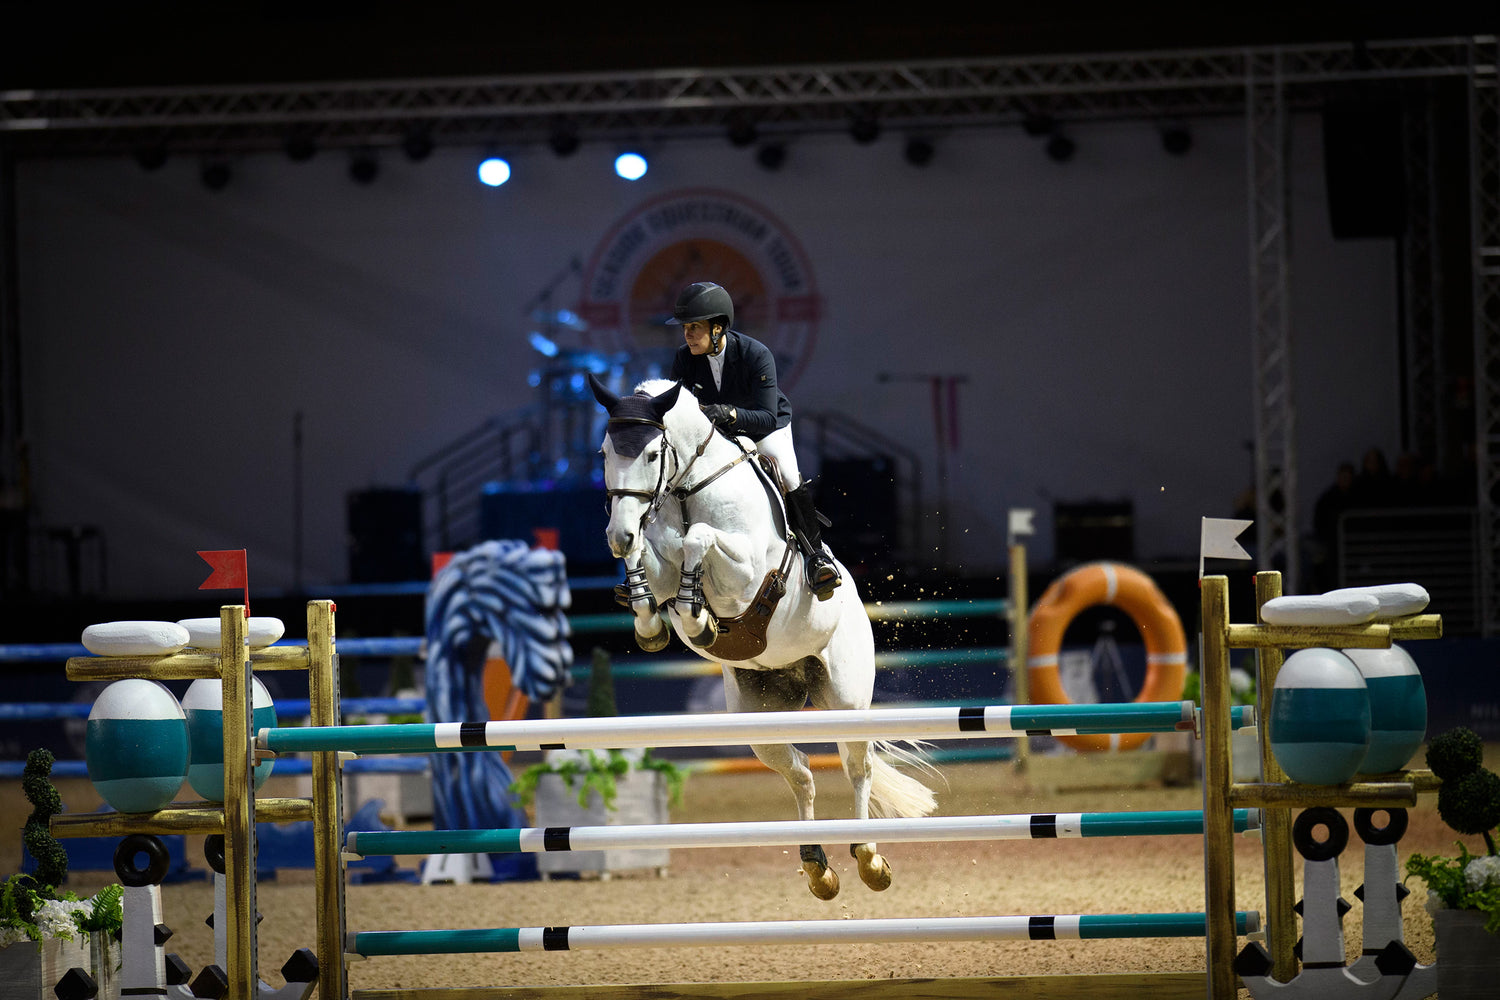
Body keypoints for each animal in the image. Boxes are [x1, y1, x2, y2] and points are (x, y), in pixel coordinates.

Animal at [588, 374, 937, 900]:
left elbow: (700, 539)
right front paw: (652, 622)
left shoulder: (748, 570)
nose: (617, 534)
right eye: (605, 452)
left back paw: (869, 858)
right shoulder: (659, 562)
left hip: (845, 698)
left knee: (858, 768)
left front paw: (699, 619)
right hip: (760, 718)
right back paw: (817, 866)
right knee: (801, 773)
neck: (688, 490)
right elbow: (652, 567)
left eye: (651, 454)